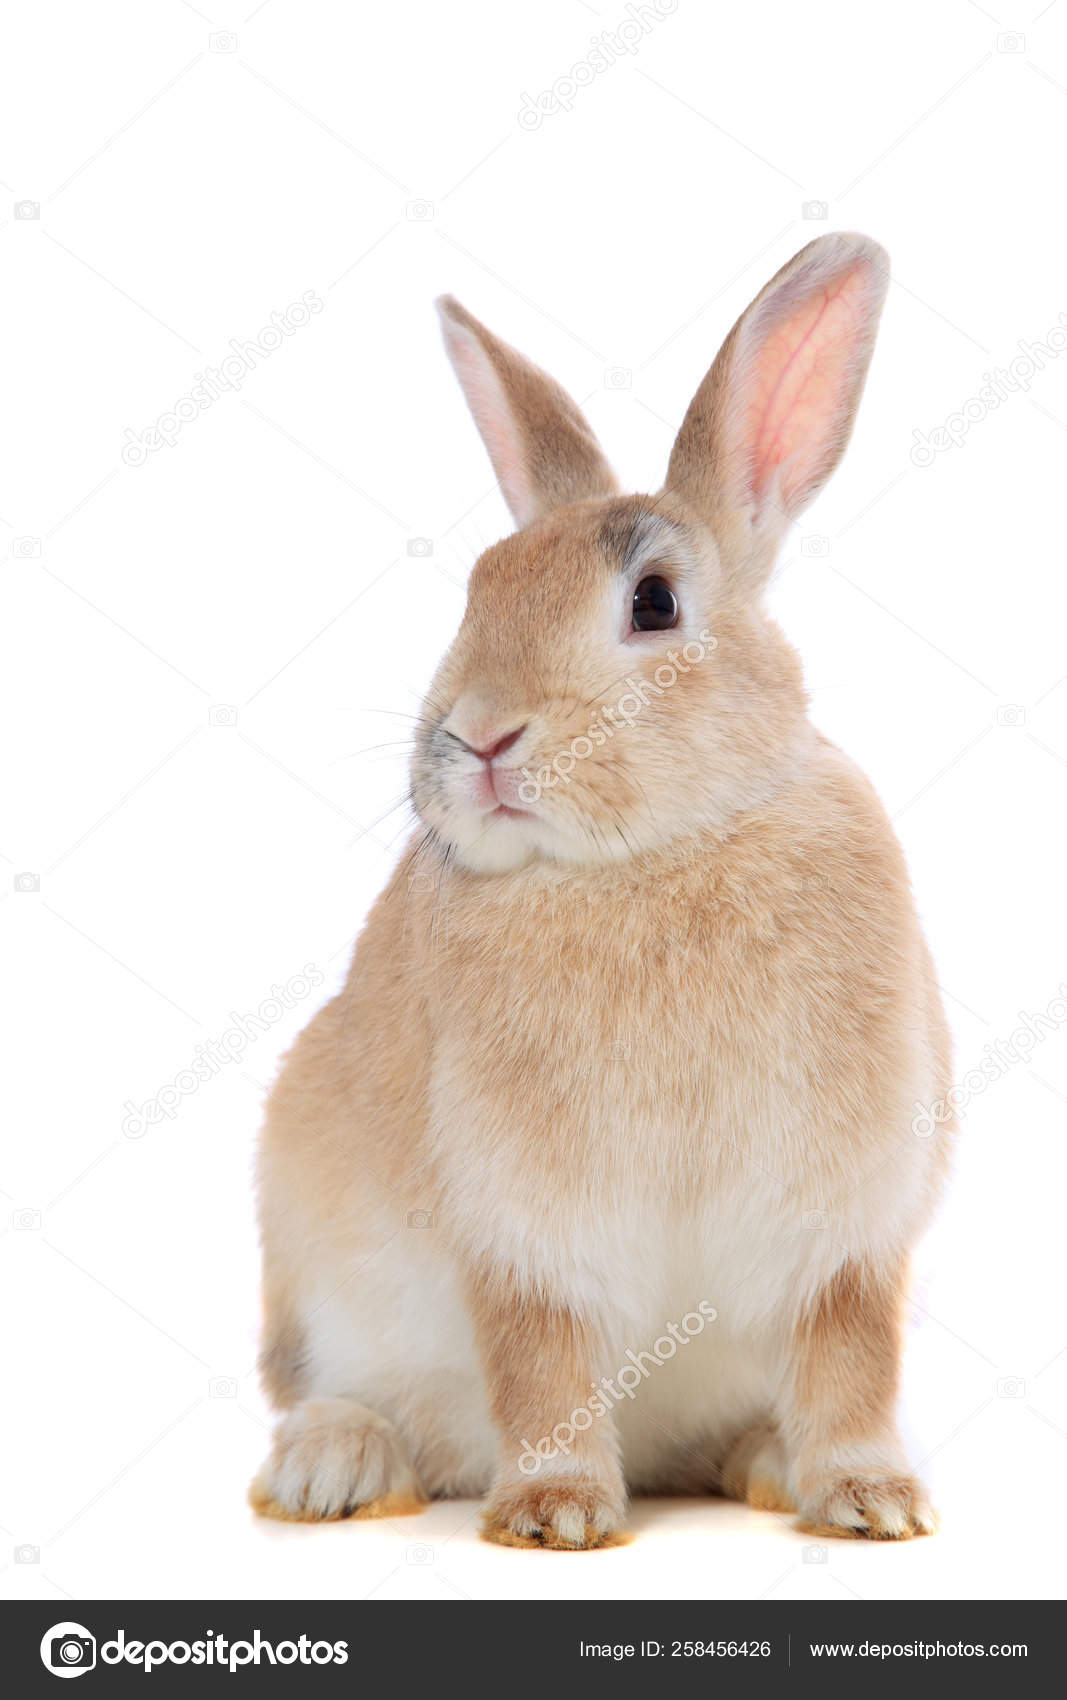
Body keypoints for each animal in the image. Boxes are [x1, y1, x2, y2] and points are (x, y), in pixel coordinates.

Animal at [250, 232, 955, 1549]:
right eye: (476, 591)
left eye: (654, 602)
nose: (479, 736)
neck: (649, 855)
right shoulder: (521, 1227)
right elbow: (543, 1359)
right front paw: (554, 1512)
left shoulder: (847, 1219)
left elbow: (849, 1351)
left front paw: (869, 1499)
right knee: (342, 1397)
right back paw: (334, 1465)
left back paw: (766, 1464)